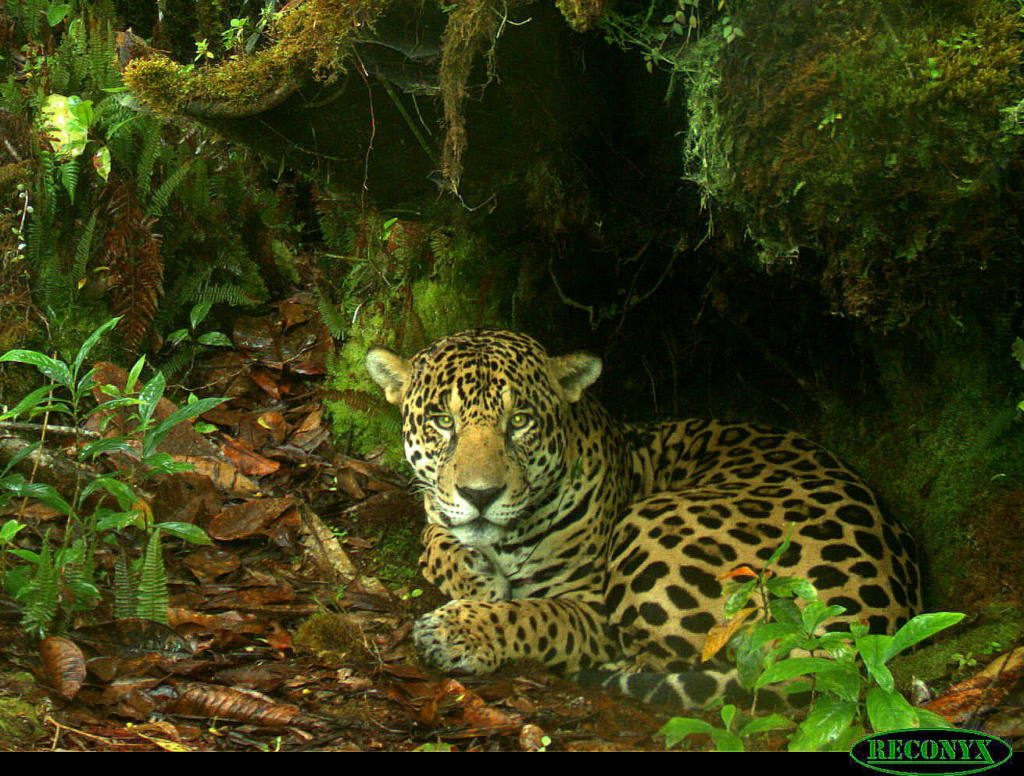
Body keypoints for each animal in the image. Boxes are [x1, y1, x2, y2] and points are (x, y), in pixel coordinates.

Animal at [365, 329, 921, 708]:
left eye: (519, 421)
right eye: (443, 421)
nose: (481, 493)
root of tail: (871, 625)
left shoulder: (593, 608)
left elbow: (534, 614)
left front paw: (458, 629)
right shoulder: (441, 513)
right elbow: (434, 532)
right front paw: (474, 576)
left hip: (656, 526)